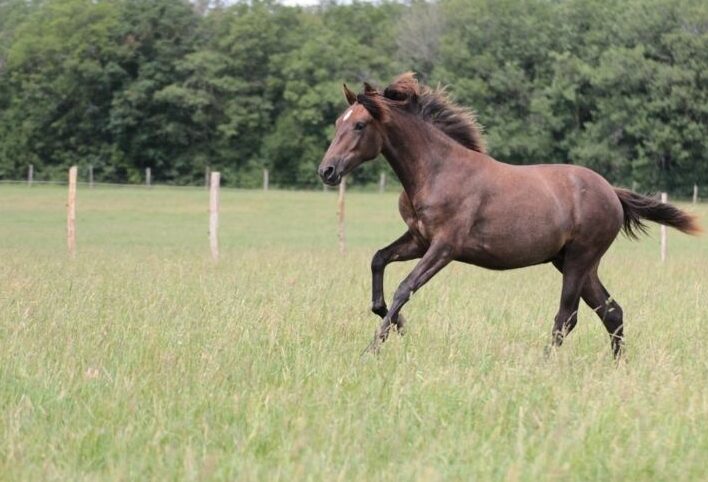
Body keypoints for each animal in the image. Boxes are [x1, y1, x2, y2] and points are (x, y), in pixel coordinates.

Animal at [318, 73, 701, 357]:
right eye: (338, 122)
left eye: (360, 126)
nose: (327, 171)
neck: (438, 170)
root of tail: (612, 193)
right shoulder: (418, 239)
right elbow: (378, 261)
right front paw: (396, 325)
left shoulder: (445, 246)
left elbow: (405, 287)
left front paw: (372, 348)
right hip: (572, 261)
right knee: (611, 311)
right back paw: (617, 364)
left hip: (580, 259)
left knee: (568, 316)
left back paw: (545, 363)